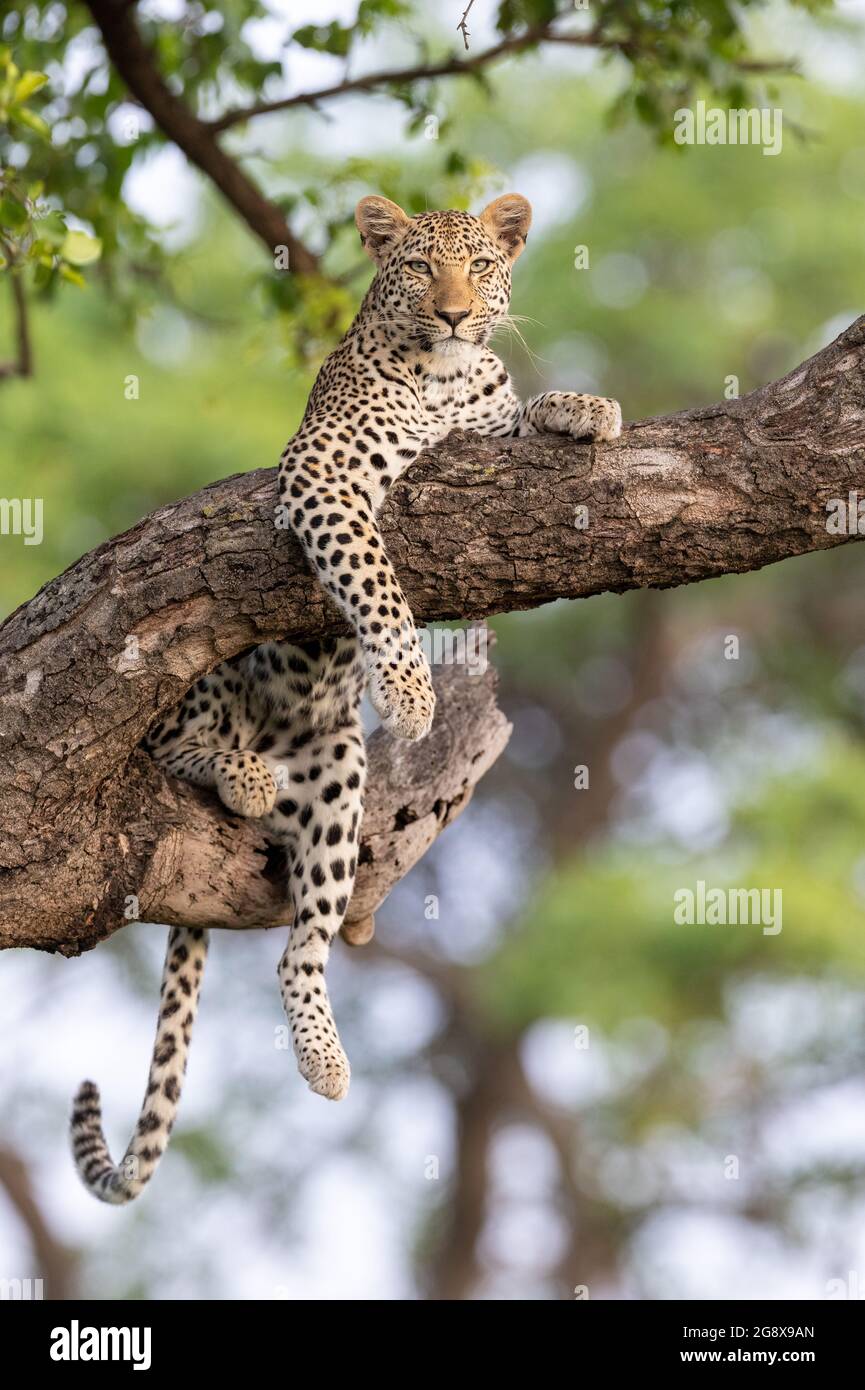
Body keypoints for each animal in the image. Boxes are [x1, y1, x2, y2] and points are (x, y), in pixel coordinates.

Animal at [70, 192, 622, 1203]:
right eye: (417, 268)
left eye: (482, 265)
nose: (454, 314)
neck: (441, 377)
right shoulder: (323, 480)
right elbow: (376, 583)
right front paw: (406, 689)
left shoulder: (481, 432)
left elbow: (517, 415)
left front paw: (583, 407)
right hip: (201, 685)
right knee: (176, 744)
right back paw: (239, 772)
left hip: (337, 769)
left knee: (301, 946)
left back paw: (323, 1058)